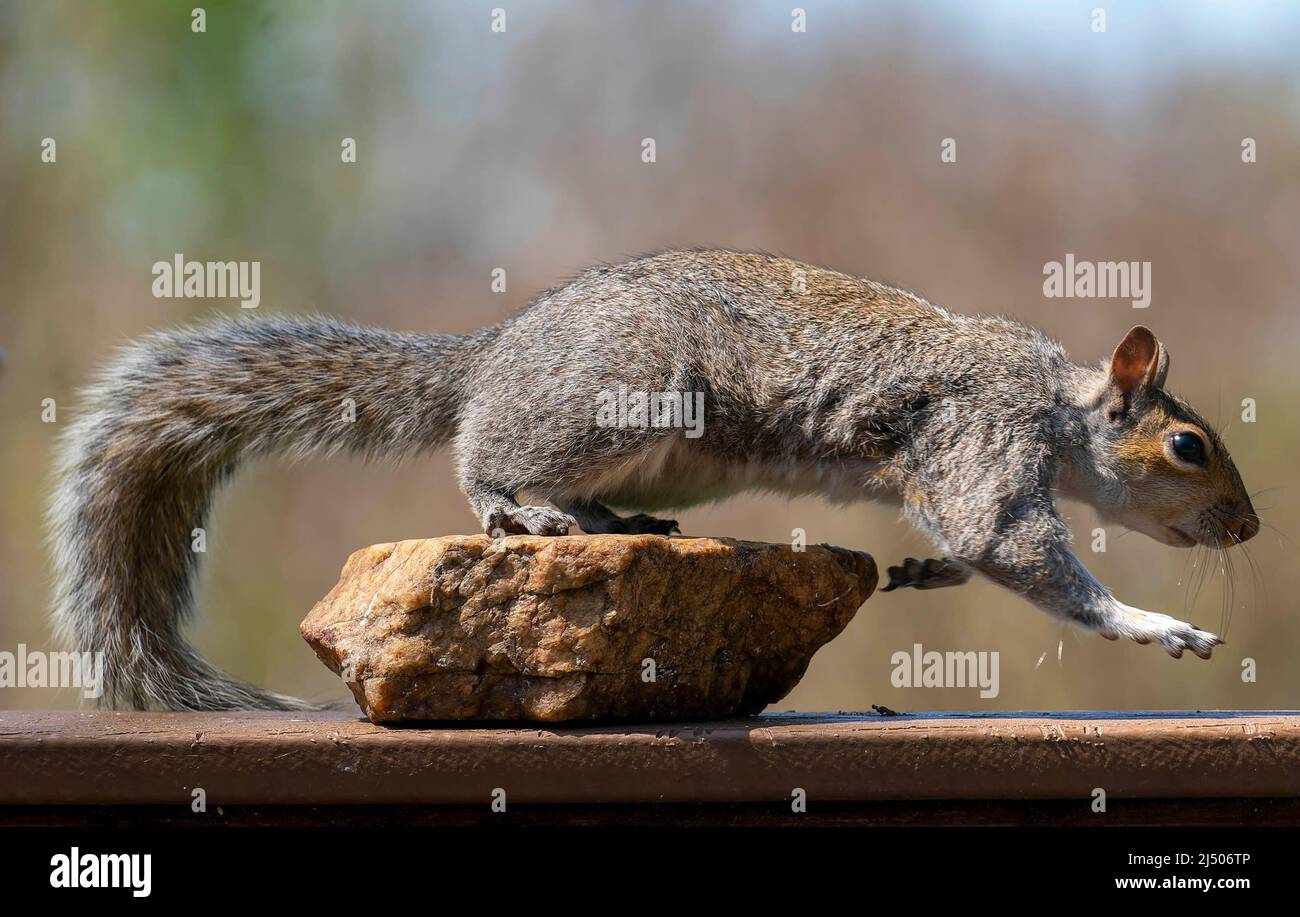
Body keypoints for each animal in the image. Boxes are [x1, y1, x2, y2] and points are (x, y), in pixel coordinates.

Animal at [48, 249, 1260, 711]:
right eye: (1189, 448)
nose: (1248, 529)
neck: (1055, 404)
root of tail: (494, 355)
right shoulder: (980, 431)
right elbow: (1005, 538)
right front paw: (1155, 624)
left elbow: (971, 546)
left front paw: (926, 572)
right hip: (628, 392)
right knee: (485, 456)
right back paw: (520, 505)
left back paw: (607, 513)